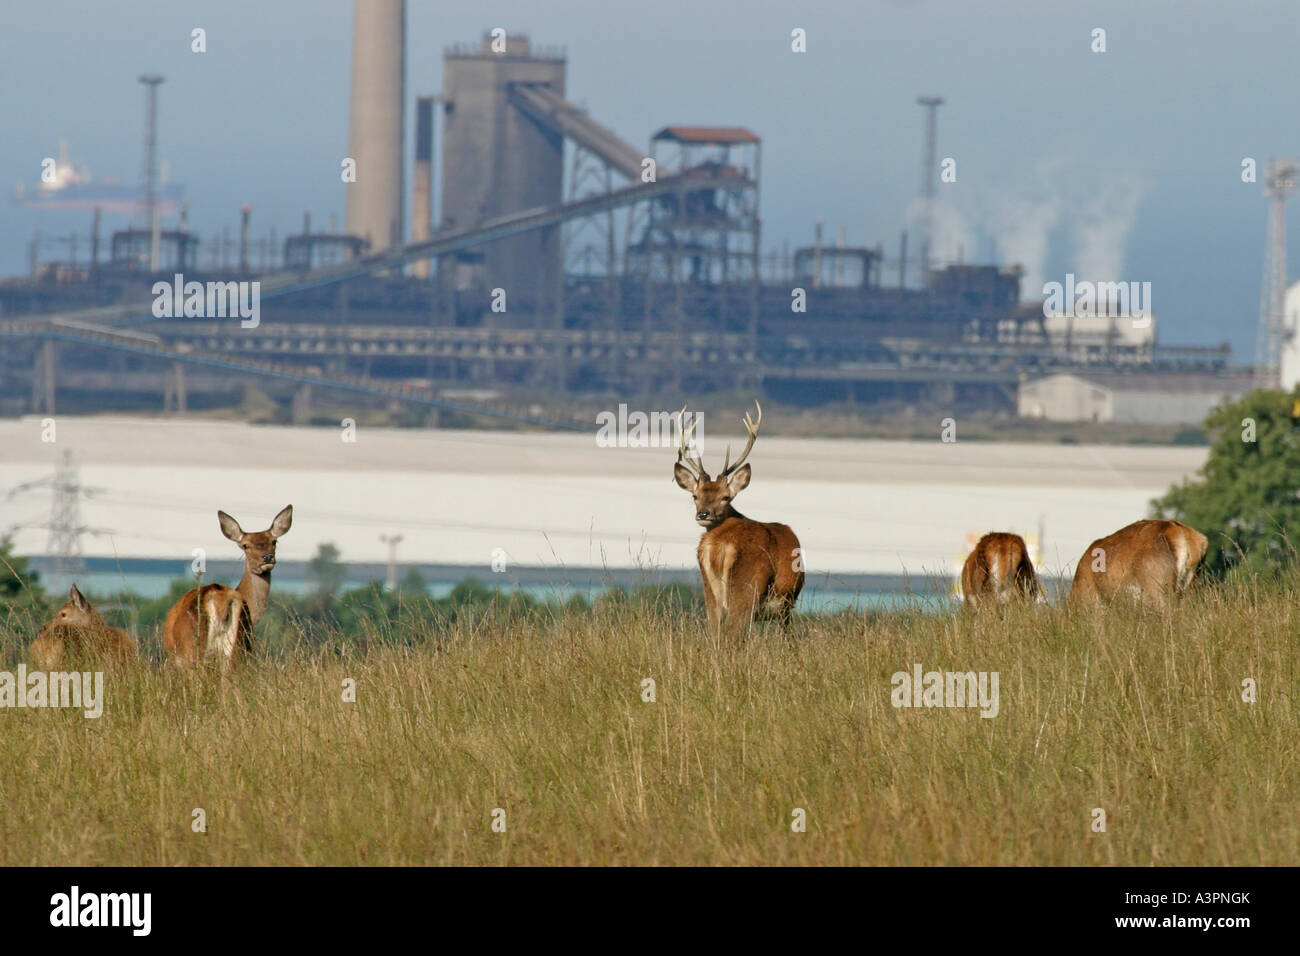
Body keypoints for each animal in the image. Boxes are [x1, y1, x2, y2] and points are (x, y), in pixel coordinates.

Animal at [672, 401, 804, 639]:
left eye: (725, 497)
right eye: (695, 496)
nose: (703, 514)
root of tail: (720, 546)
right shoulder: (786, 605)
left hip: (710, 594)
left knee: (716, 632)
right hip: (748, 589)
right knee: (732, 632)